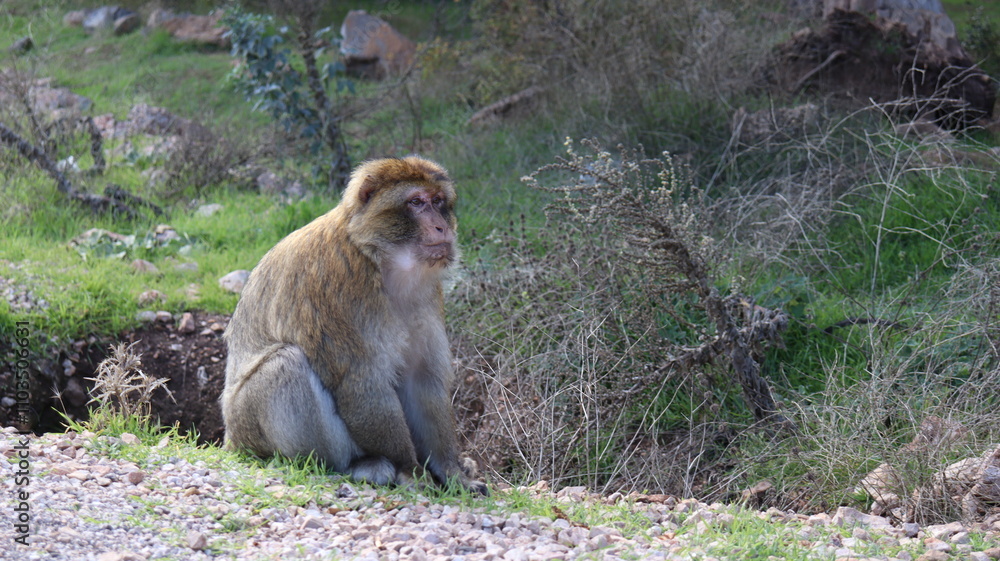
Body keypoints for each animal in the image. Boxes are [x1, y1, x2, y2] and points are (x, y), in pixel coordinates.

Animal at [220, 156, 487, 495]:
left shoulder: (427, 292)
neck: (378, 258)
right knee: (286, 364)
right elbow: (359, 382)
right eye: (416, 202)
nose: (441, 226)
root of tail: (231, 438)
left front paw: (453, 472)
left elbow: (422, 380)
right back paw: (355, 466)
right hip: (248, 428)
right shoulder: (336, 285)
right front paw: (410, 469)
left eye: (438, 201)